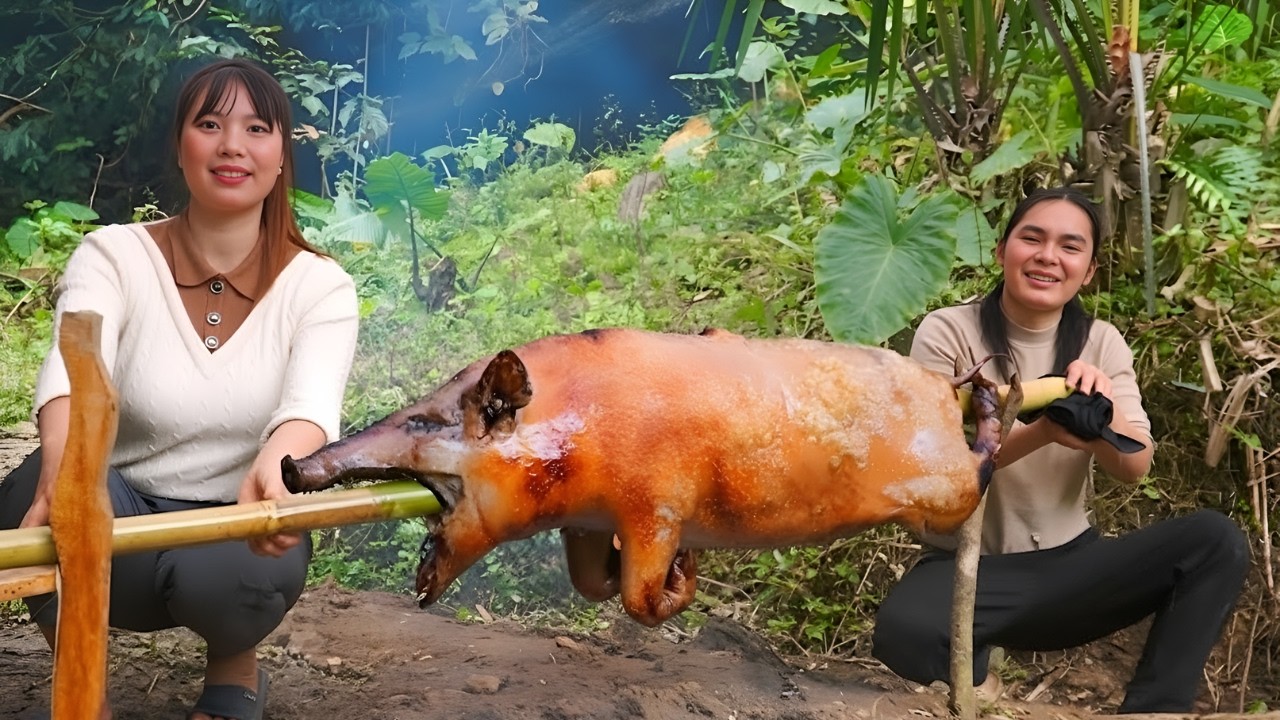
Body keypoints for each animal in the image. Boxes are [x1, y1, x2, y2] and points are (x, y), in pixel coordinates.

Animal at [282, 328, 1001, 627]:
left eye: (427, 421)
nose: (291, 465)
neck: (584, 429)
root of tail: (943, 388)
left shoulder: (655, 508)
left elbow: (638, 598)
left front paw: (685, 578)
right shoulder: (584, 523)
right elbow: (593, 584)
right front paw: (686, 569)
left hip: (946, 490)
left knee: (981, 467)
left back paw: (995, 396)